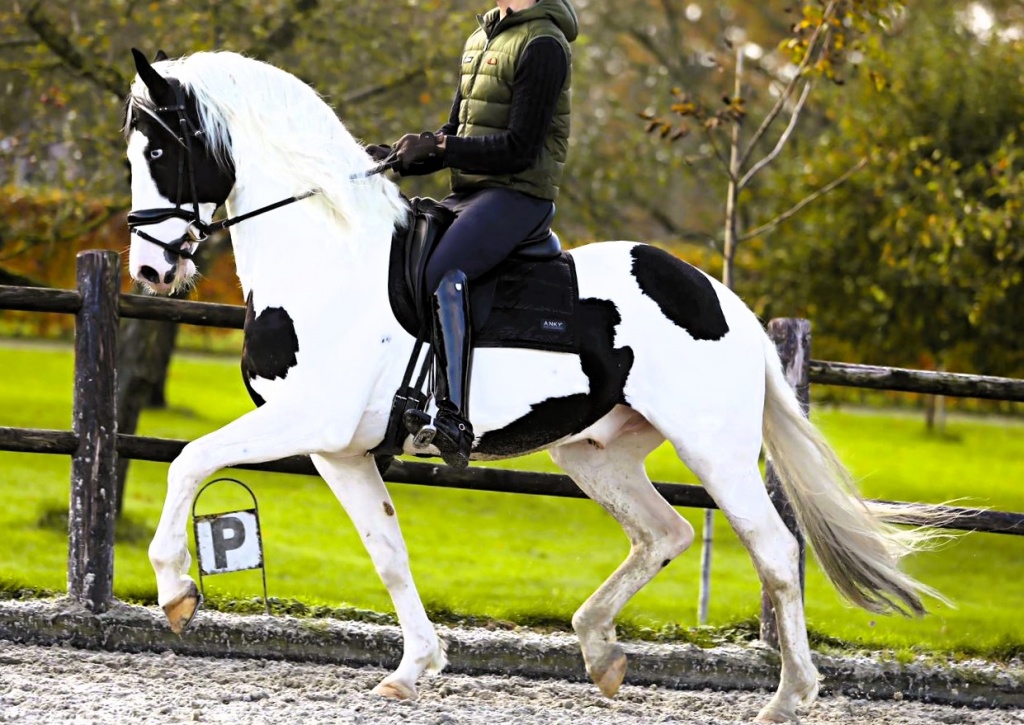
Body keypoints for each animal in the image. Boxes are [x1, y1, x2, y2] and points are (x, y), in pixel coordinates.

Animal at [123, 48, 949, 723]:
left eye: (160, 148)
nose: (151, 270)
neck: (326, 256)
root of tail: (723, 301)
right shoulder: (341, 450)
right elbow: (388, 551)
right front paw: (412, 669)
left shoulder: (307, 420)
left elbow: (189, 459)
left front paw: (175, 589)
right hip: (593, 452)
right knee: (666, 531)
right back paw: (600, 649)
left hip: (713, 449)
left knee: (773, 551)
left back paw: (787, 695)